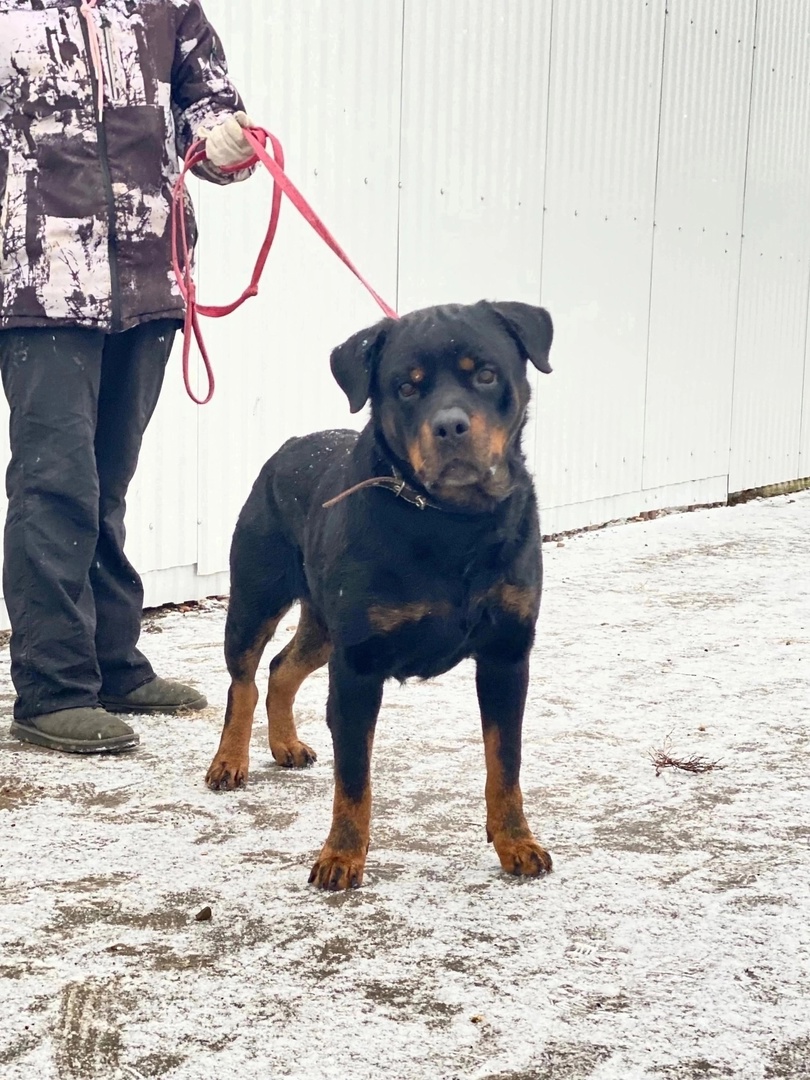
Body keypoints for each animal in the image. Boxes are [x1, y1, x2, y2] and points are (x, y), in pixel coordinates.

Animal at [206, 300, 557, 889]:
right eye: (407, 387)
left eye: (486, 374)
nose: (450, 425)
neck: (450, 524)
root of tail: (288, 445)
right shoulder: (359, 663)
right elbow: (354, 776)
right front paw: (341, 856)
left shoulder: (507, 653)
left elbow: (504, 761)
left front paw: (517, 841)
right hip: (255, 596)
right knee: (245, 678)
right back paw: (230, 761)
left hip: (323, 625)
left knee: (283, 667)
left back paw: (285, 745)